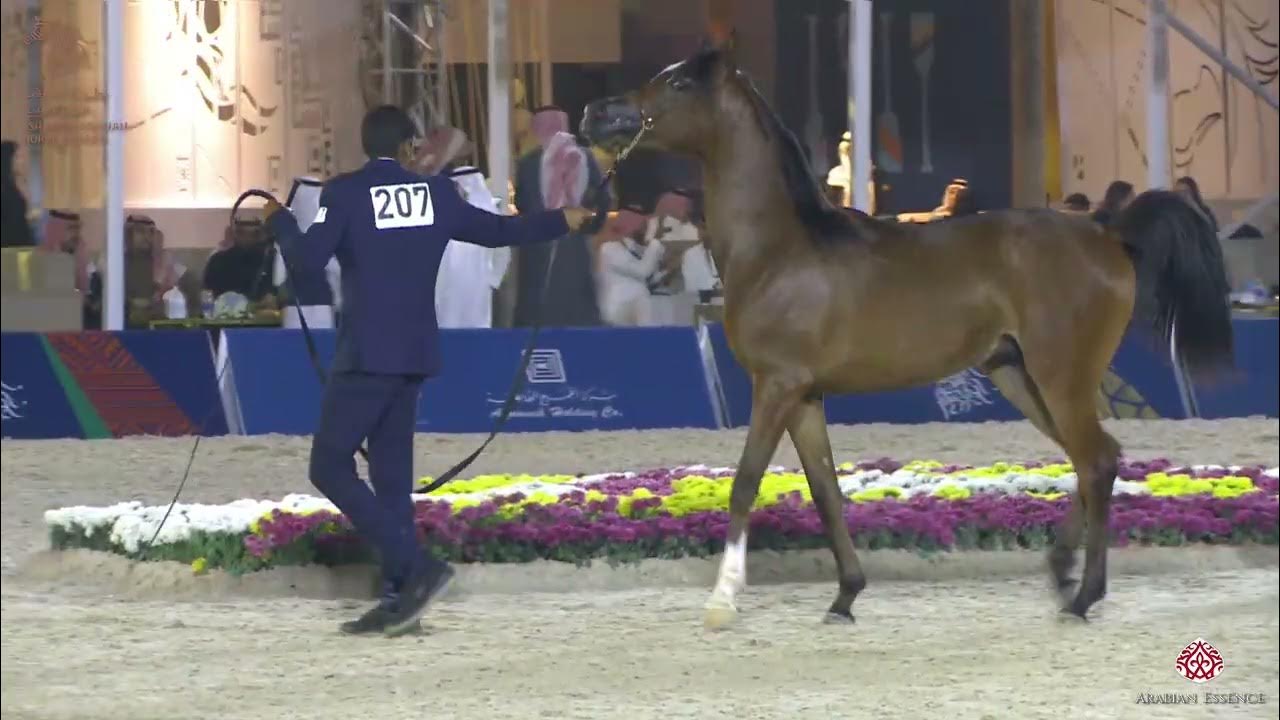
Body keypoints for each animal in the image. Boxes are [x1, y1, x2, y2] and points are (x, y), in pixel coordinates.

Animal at [581, 36, 1234, 629]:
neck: (780, 249)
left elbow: (744, 485)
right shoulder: (804, 396)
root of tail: (1107, 231)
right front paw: (845, 597)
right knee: (1093, 458)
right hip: (1021, 375)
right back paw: (1061, 577)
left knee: (1095, 461)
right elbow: (825, 490)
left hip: (1060, 375)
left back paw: (1082, 597)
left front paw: (723, 601)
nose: (595, 114)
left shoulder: (776, 385)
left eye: (676, 84)